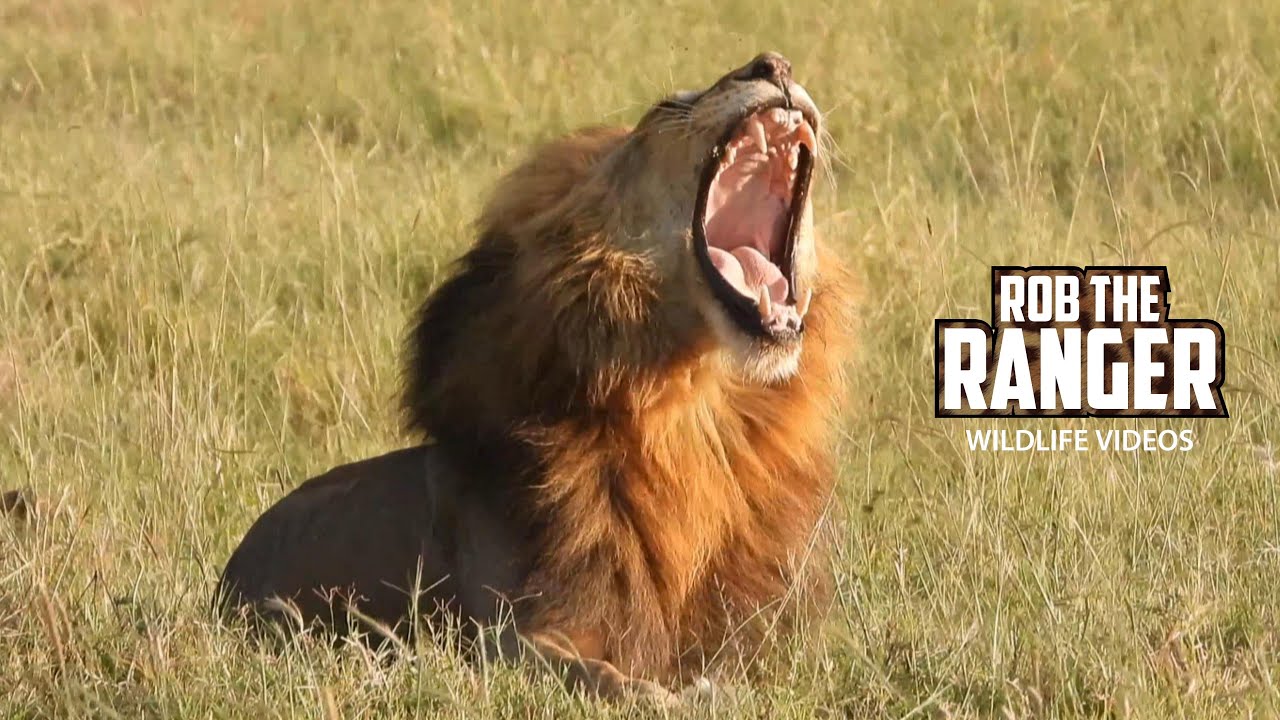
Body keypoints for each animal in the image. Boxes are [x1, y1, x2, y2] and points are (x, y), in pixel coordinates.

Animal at [215, 52, 854, 703]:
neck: (695, 410)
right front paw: (682, 696)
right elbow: (603, 676)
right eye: (665, 108)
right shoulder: (508, 639)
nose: (773, 63)